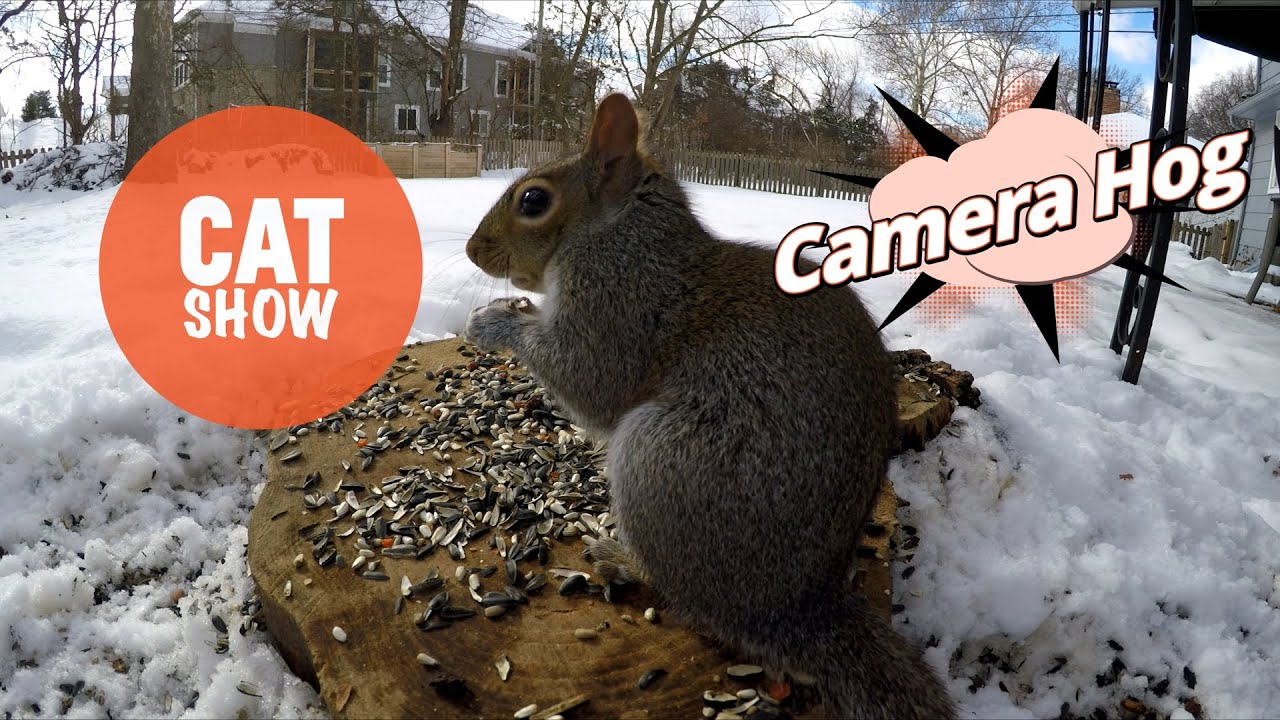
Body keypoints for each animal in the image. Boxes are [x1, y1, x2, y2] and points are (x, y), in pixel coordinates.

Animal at [463, 94, 956, 720]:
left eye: (533, 200)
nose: (472, 250)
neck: (620, 235)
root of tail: (793, 612)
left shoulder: (618, 305)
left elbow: (591, 382)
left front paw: (493, 322)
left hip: (660, 461)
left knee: (682, 597)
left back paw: (620, 559)